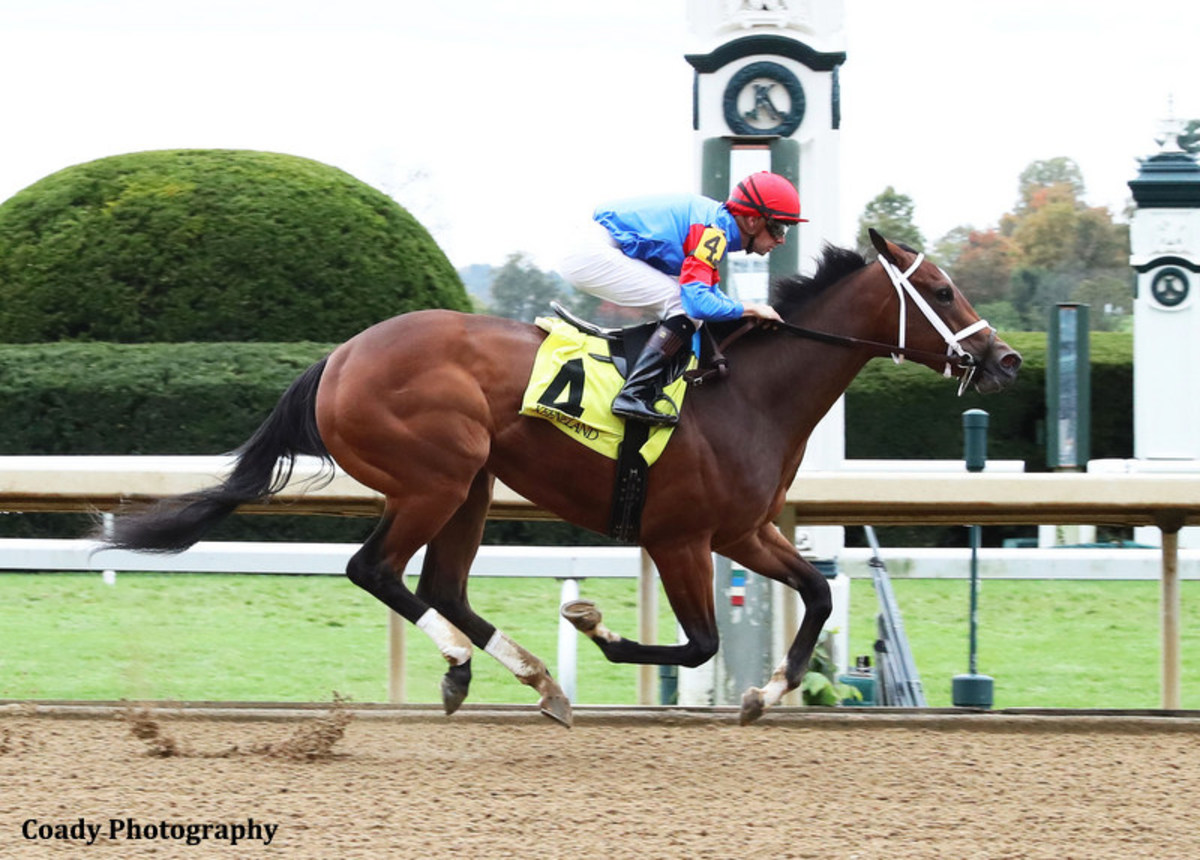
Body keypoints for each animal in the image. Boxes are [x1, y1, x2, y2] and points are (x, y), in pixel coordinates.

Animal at [98, 229, 1021, 727]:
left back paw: (535, 679)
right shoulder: (679, 537)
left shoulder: (744, 531)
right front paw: (595, 624)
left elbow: (819, 593)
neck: (748, 393)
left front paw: (768, 692)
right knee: (377, 570)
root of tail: (340, 356)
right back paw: (468, 666)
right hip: (437, 477)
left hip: (472, 483)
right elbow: (699, 641)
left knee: (441, 584)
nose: (1006, 359)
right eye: (941, 289)